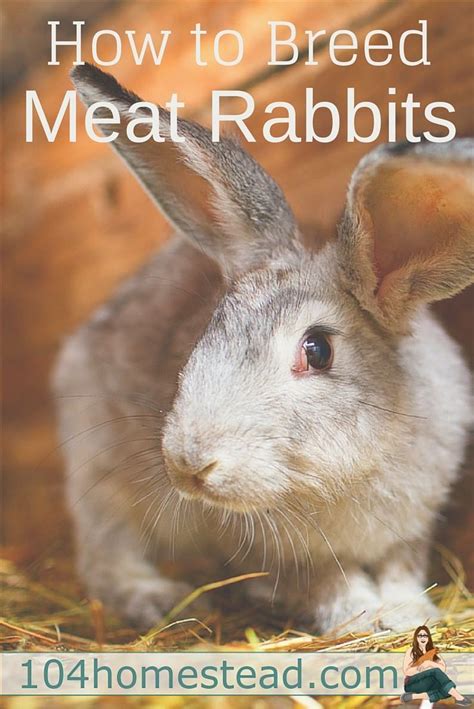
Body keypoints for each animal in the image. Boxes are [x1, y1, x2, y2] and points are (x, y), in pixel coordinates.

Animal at [53, 63, 474, 633]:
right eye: (212, 326)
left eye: (317, 351)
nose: (189, 463)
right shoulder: (286, 557)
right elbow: (327, 582)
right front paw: (358, 618)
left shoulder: (412, 528)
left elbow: (401, 568)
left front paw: (408, 613)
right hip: (99, 473)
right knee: (106, 553)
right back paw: (154, 596)